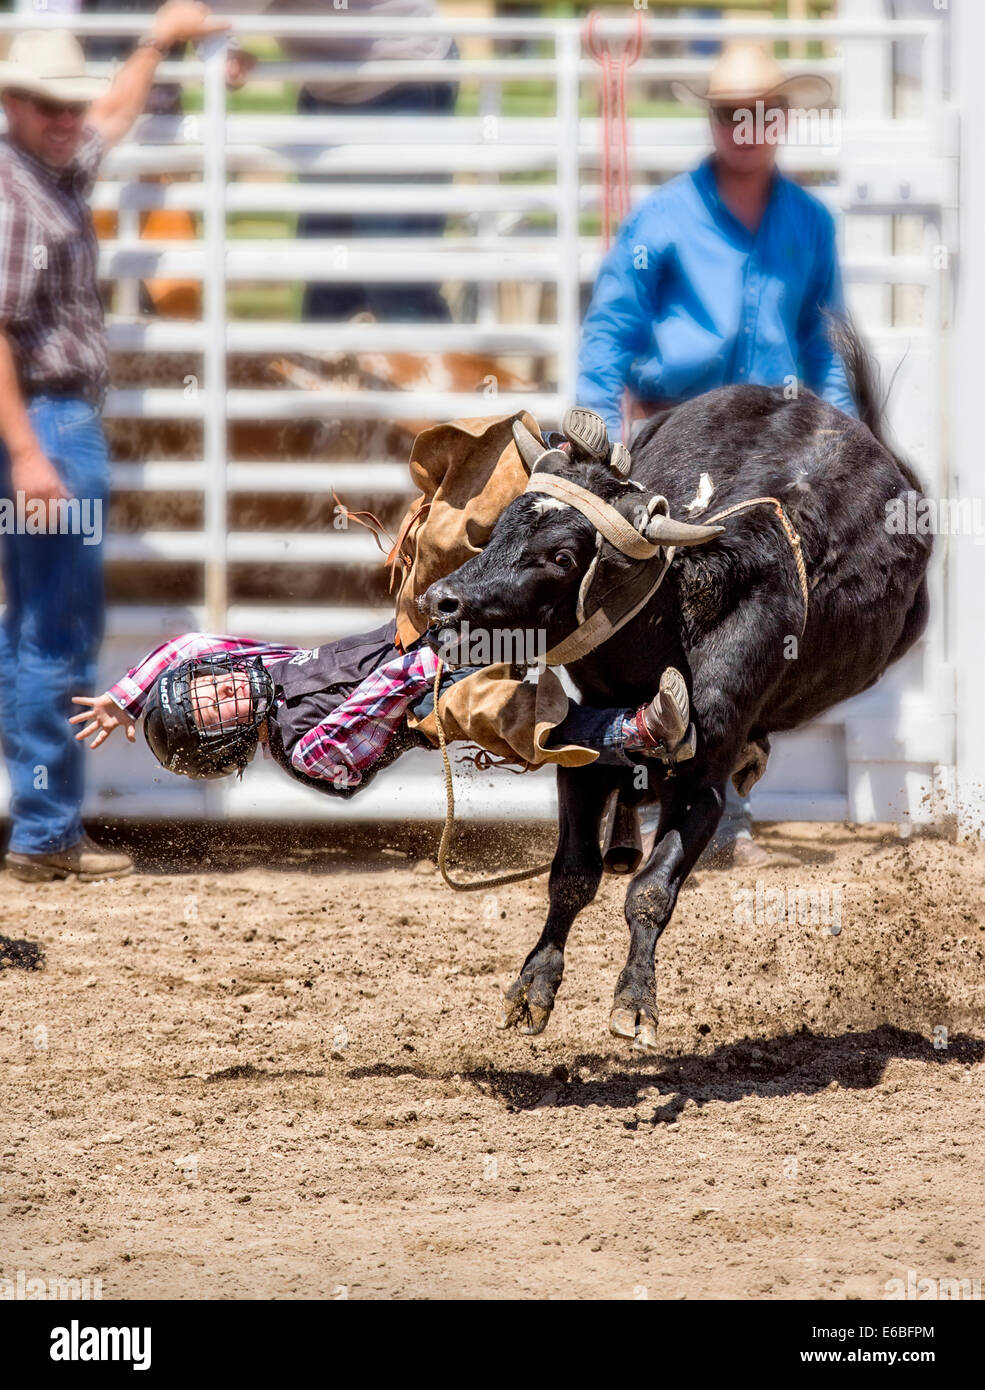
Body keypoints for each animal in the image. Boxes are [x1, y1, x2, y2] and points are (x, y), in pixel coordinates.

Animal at [421, 323, 932, 1052]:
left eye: (561, 556)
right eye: (500, 528)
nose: (442, 602)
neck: (676, 620)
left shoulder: (701, 783)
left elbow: (651, 892)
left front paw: (635, 1003)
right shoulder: (582, 752)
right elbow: (570, 877)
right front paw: (532, 989)